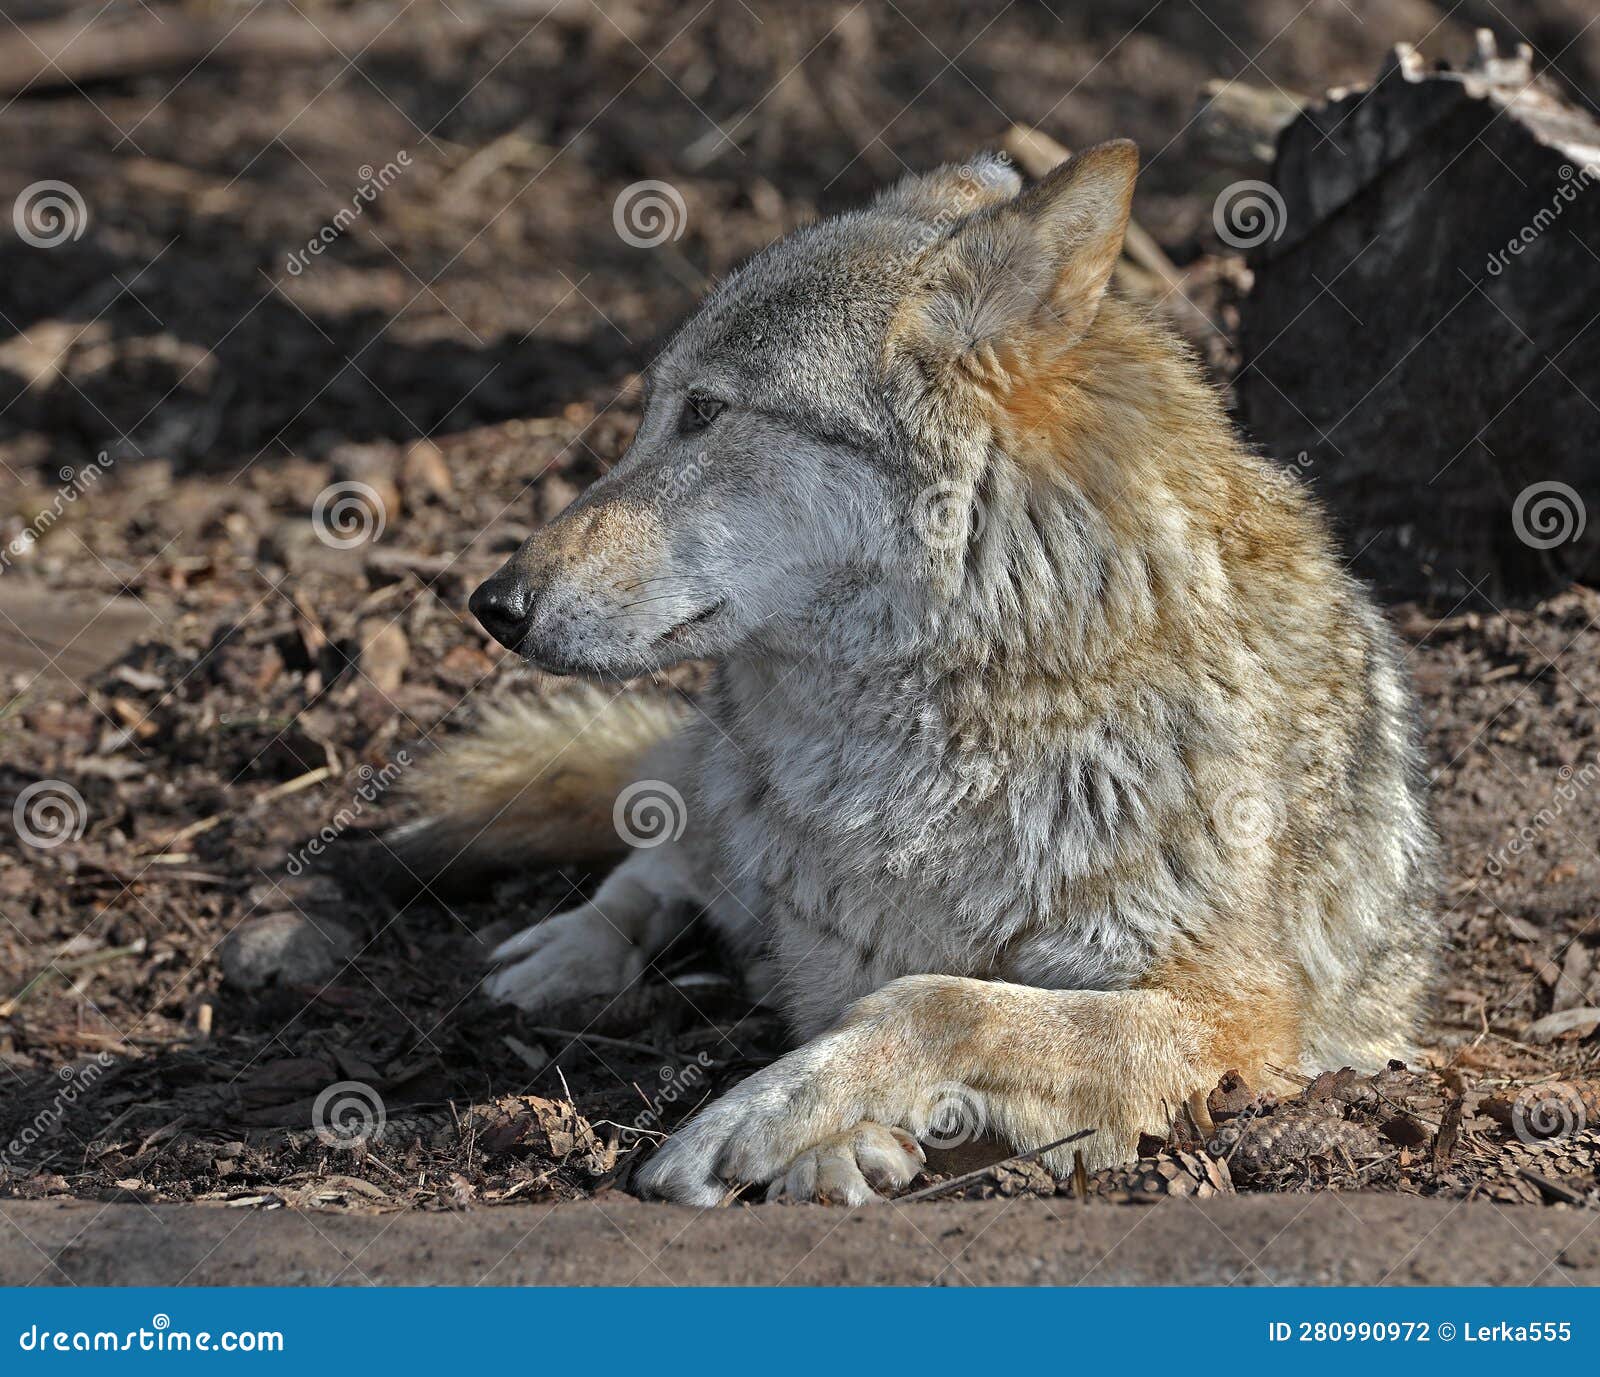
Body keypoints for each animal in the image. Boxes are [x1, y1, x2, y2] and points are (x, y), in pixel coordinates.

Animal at [401, 141, 1438, 1206]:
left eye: (704, 412)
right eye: (656, 414)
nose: (493, 602)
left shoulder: (1241, 1021)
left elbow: (941, 1002)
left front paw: (760, 1118)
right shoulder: (828, 953)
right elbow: (884, 997)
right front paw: (828, 1140)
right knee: (664, 849)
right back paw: (561, 951)